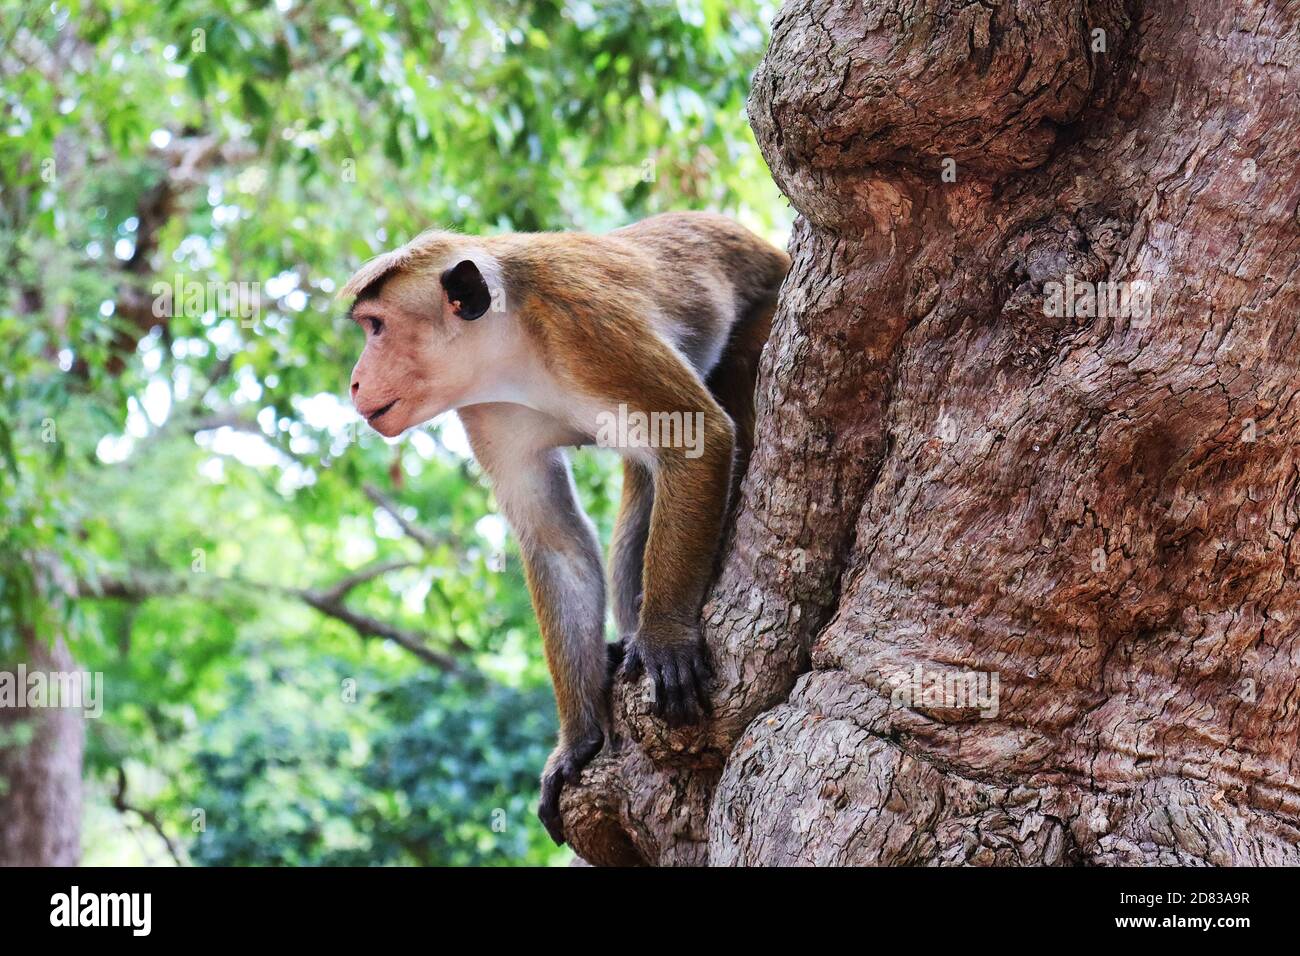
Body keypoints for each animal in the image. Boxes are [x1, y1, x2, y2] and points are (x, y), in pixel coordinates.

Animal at [341, 211, 789, 844]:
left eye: (376, 327)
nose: (355, 384)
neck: (511, 345)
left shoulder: (587, 327)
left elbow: (697, 440)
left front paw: (667, 639)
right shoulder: (487, 410)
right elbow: (556, 542)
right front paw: (579, 740)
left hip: (765, 312)